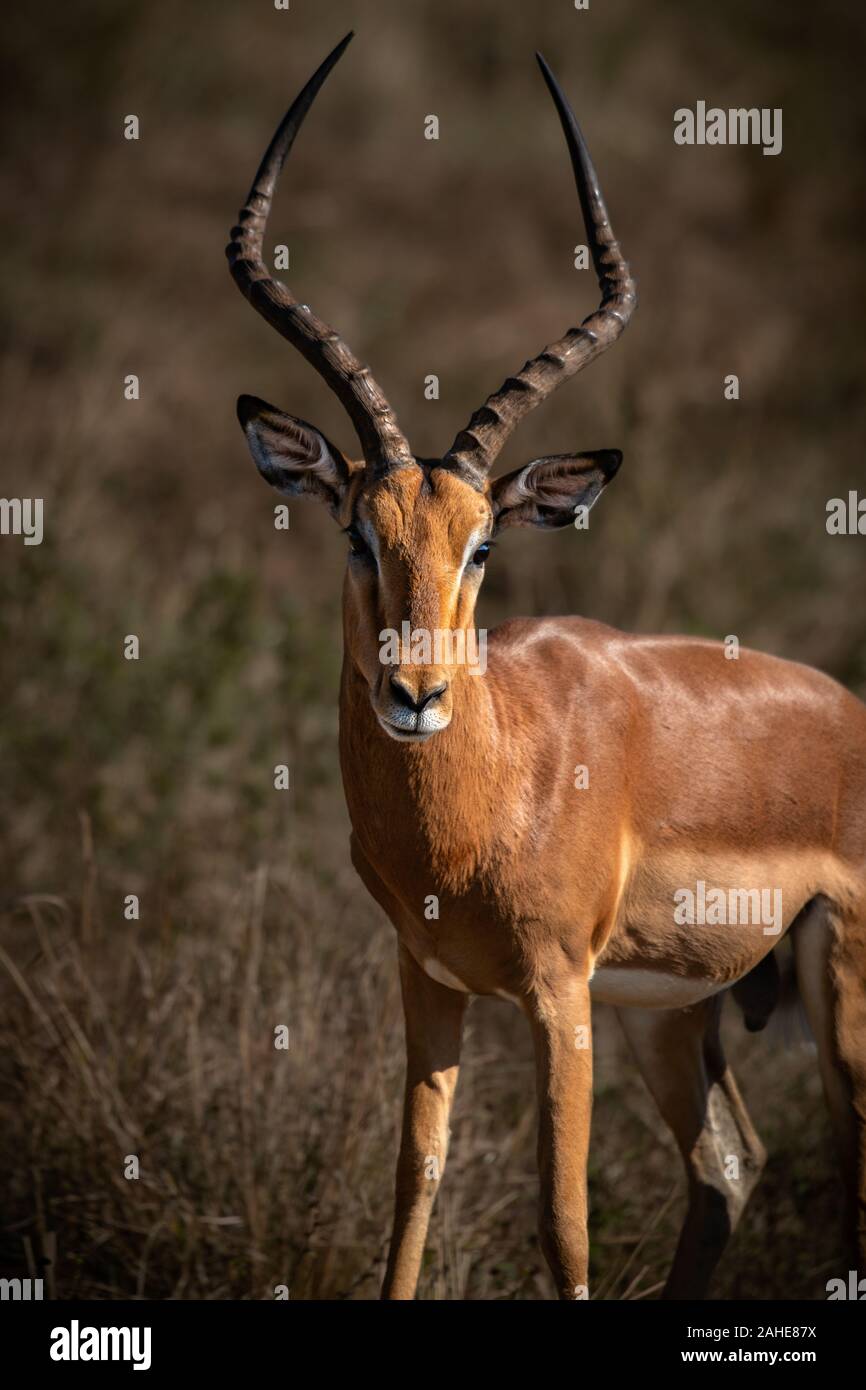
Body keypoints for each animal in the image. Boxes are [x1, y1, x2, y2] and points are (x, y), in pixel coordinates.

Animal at [227, 32, 866, 1299]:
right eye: (357, 532)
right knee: (729, 1165)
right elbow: (411, 1195)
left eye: (483, 542)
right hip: (671, 1014)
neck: (492, 784)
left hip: (840, 998)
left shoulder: (555, 989)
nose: (414, 694)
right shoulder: (428, 978)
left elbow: (561, 1218)